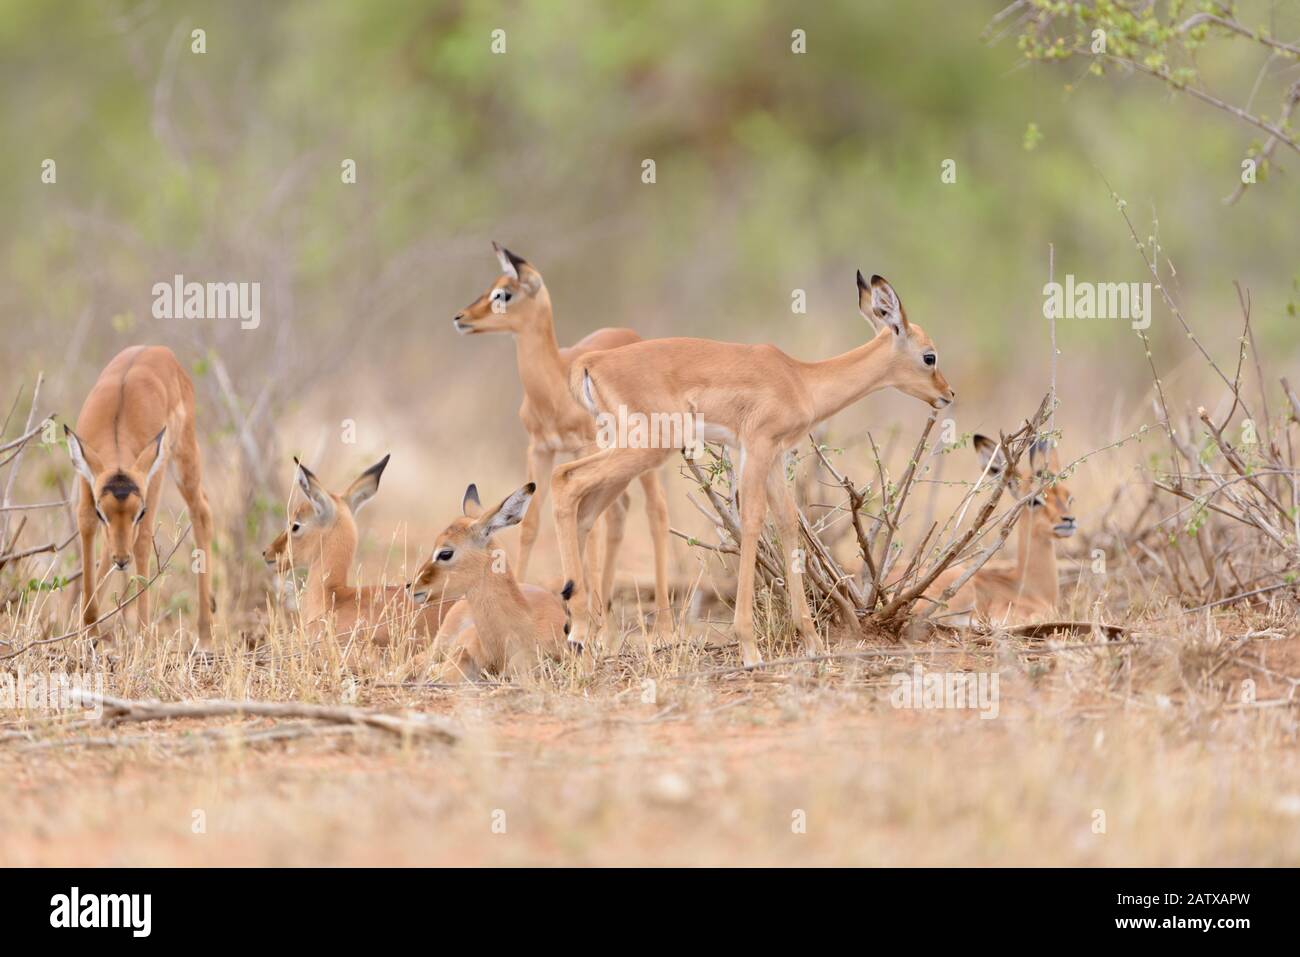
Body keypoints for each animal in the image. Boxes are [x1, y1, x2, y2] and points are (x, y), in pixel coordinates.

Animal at [64, 346, 215, 649]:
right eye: (101, 512)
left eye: (140, 512)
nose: (123, 561)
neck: (116, 422)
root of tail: (159, 350)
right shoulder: (86, 480)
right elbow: (86, 528)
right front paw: (89, 629)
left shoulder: (152, 480)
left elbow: (144, 540)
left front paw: (144, 635)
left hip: (183, 458)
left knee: (202, 511)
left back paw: (205, 635)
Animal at [453, 243, 671, 633]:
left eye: (503, 293)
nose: (461, 317)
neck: (553, 382)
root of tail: (631, 334)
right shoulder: (540, 450)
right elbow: (530, 524)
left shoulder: (583, 446)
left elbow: (589, 525)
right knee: (617, 513)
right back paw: (606, 615)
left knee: (655, 511)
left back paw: (661, 625)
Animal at [553, 272, 955, 666]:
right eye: (929, 356)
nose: (948, 394)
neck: (800, 380)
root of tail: (591, 362)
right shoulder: (757, 446)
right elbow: (751, 522)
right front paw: (749, 647)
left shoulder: (773, 455)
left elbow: (788, 524)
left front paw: (812, 642)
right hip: (644, 448)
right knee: (565, 479)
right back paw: (578, 630)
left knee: (586, 510)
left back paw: (581, 633)